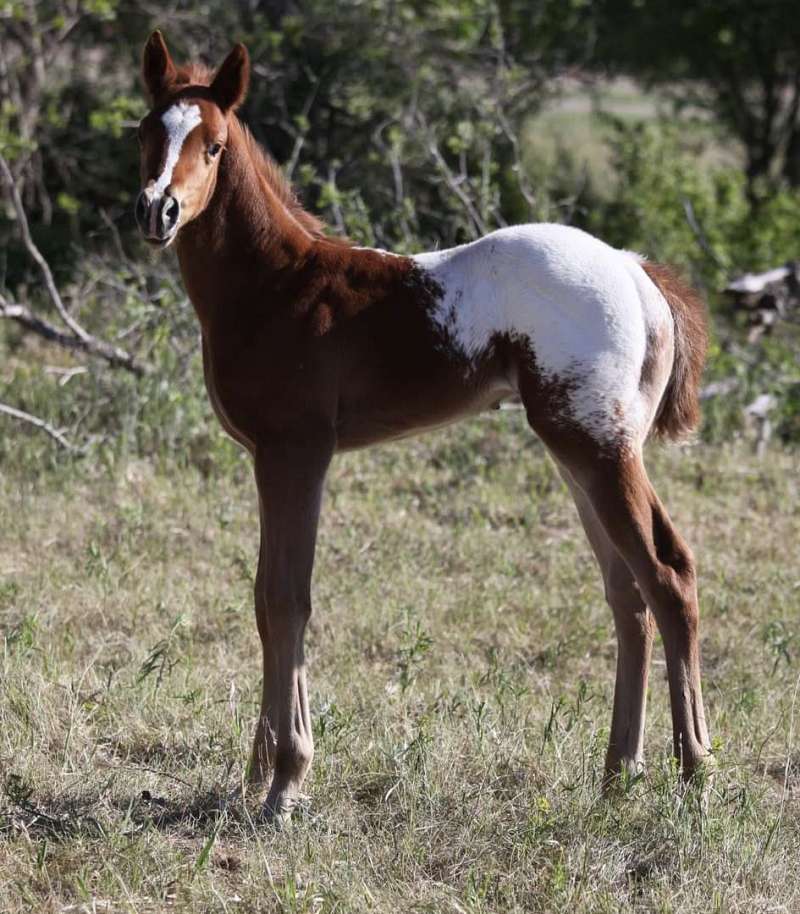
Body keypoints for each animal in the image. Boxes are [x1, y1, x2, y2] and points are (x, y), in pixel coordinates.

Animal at [135, 31, 713, 821]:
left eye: (215, 145)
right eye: (145, 133)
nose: (158, 211)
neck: (278, 286)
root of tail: (635, 271)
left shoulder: (297, 453)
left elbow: (288, 598)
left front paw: (287, 781)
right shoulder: (269, 459)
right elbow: (263, 598)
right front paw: (255, 775)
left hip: (598, 447)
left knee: (667, 573)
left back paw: (695, 774)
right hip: (580, 451)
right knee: (628, 594)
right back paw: (618, 774)